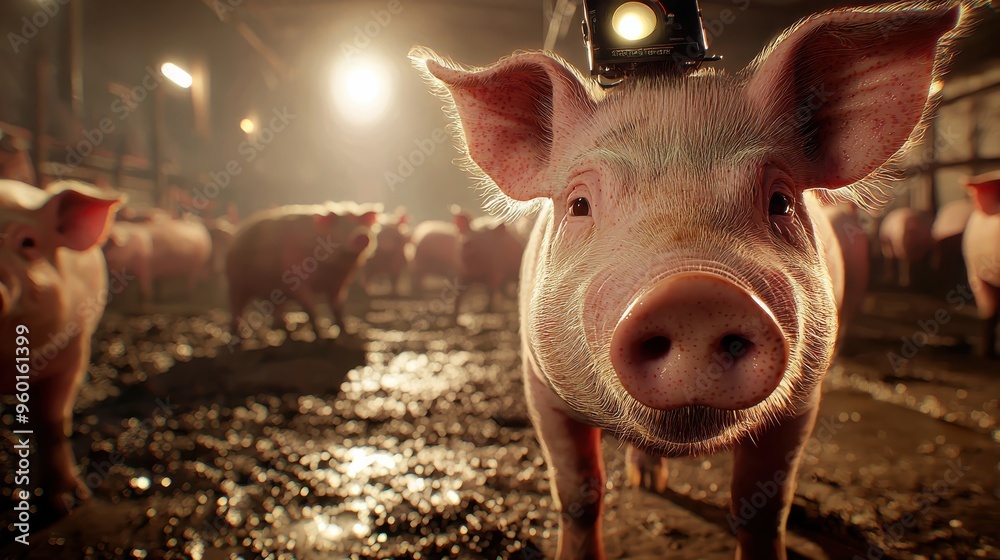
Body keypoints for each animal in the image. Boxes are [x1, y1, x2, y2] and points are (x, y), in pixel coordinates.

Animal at [227, 203, 377, 338]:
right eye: (340, 227)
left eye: (360, 223)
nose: (361, 235)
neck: (330, 270)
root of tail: (236, 236)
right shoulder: (297, 281)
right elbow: (310, 307)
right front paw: (322, 336)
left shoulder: (340, 283)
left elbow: (338, 307)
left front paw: (348, 332)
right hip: (236, 282)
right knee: (236, 306)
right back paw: (240, 334)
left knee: (277, 308)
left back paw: (286, 328)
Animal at [415, 3, 963, 558]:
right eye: (579, 204)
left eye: (781, 201)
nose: (695, 294)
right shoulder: (539, 380)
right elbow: (578, 491)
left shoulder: (803, 398)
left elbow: (763, 505)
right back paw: (646, 483)